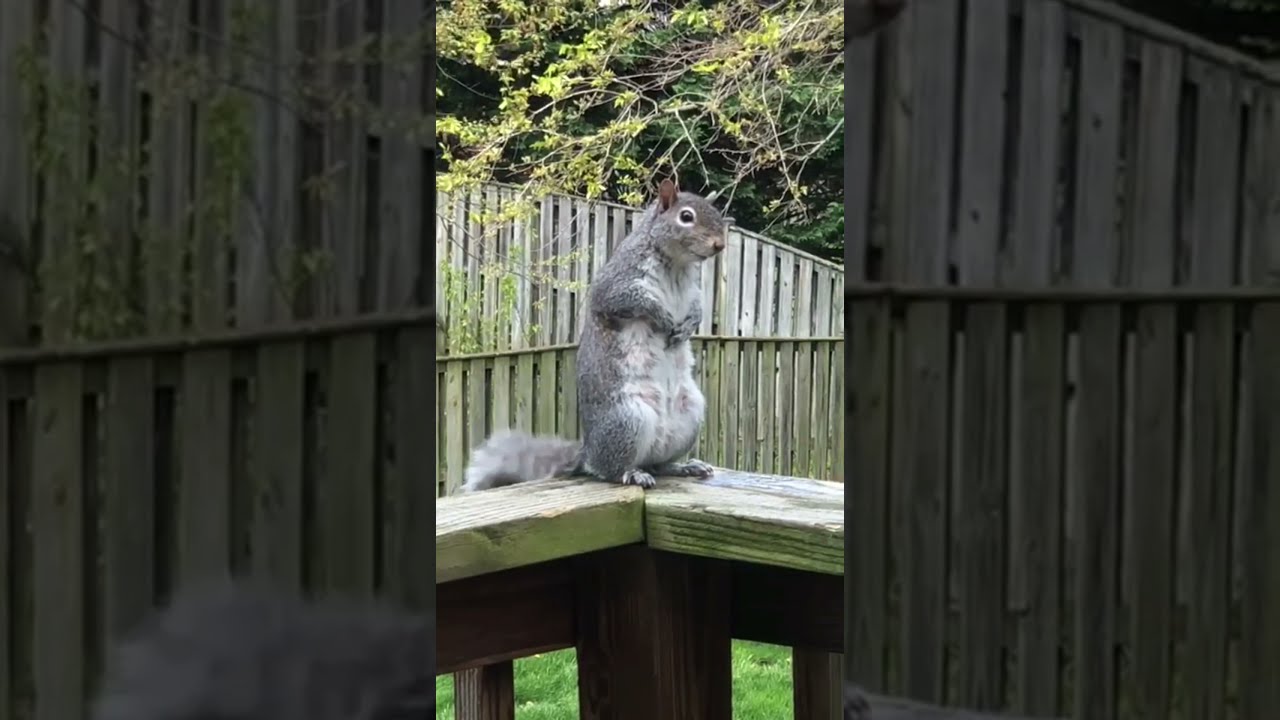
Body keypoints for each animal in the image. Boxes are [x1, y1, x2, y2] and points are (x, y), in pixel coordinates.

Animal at [460, 178, 727, 492]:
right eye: (686, 217)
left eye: (716, 212)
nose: (720, 244)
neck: (676, 265)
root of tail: (587, 452)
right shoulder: (617, 283)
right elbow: (630, 301)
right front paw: (662, 318)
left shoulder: (693, 291)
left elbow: (697, 308)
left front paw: (686, 327)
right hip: (628, 420)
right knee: (609, 470)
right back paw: (631, 473)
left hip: (690, 414)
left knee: (659, 464)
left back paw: (683, 466)